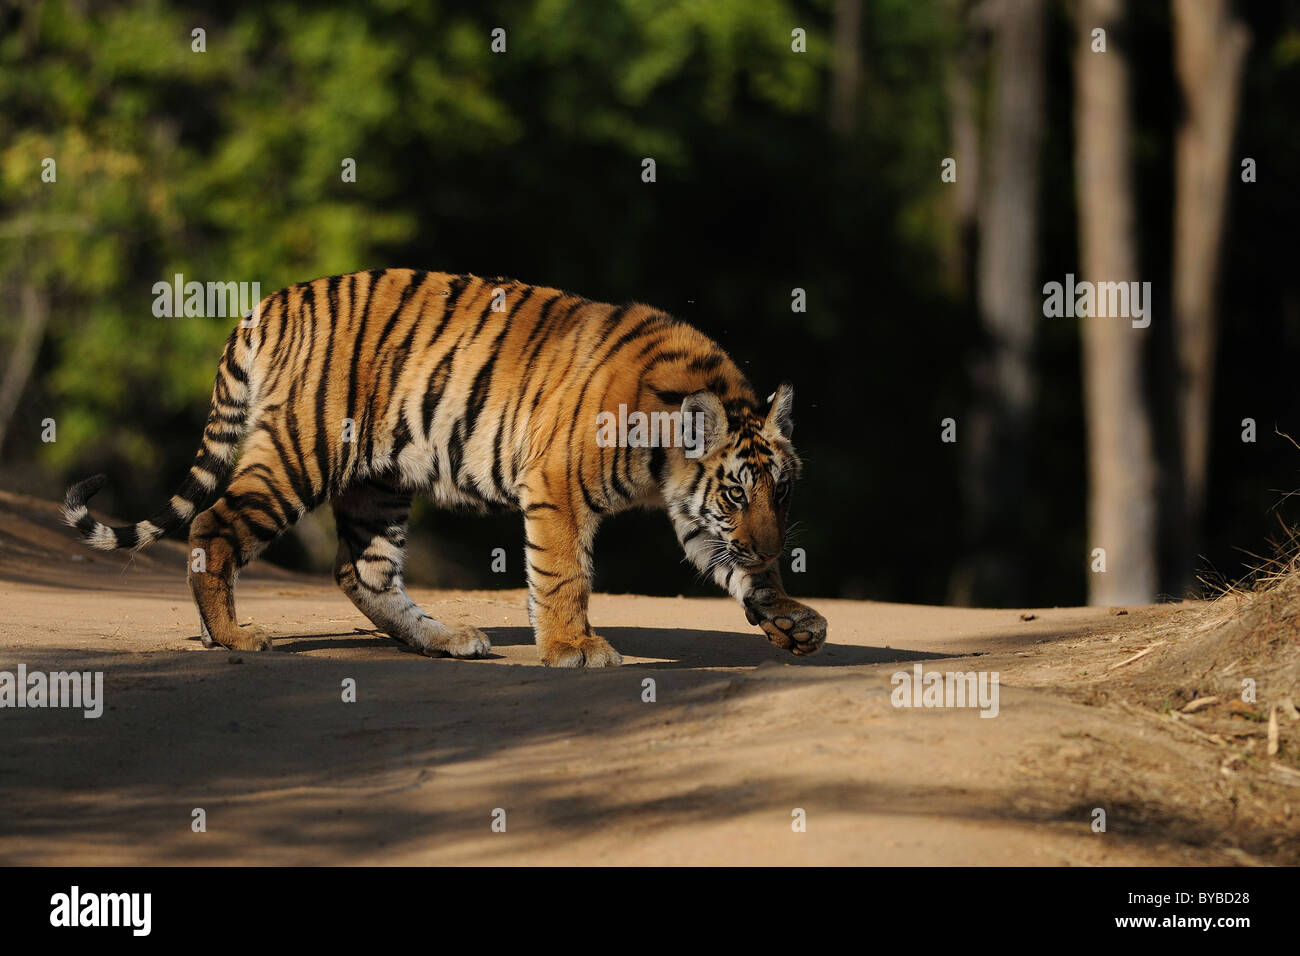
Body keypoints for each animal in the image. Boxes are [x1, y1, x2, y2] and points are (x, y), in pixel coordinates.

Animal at [62, 269, 827, 667]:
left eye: (782, 495)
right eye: (736, 494)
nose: (771, 544)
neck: (667, 451)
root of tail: (269, 304)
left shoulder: (690, 514)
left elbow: (738, 573)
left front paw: (793, 619)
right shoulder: (558, 487)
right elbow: (564, 575)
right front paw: (574, 646)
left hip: (377, 481)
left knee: (361, 571)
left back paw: (447, 639)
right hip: (300, 451)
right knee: (214, 526)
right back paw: (232, 636)